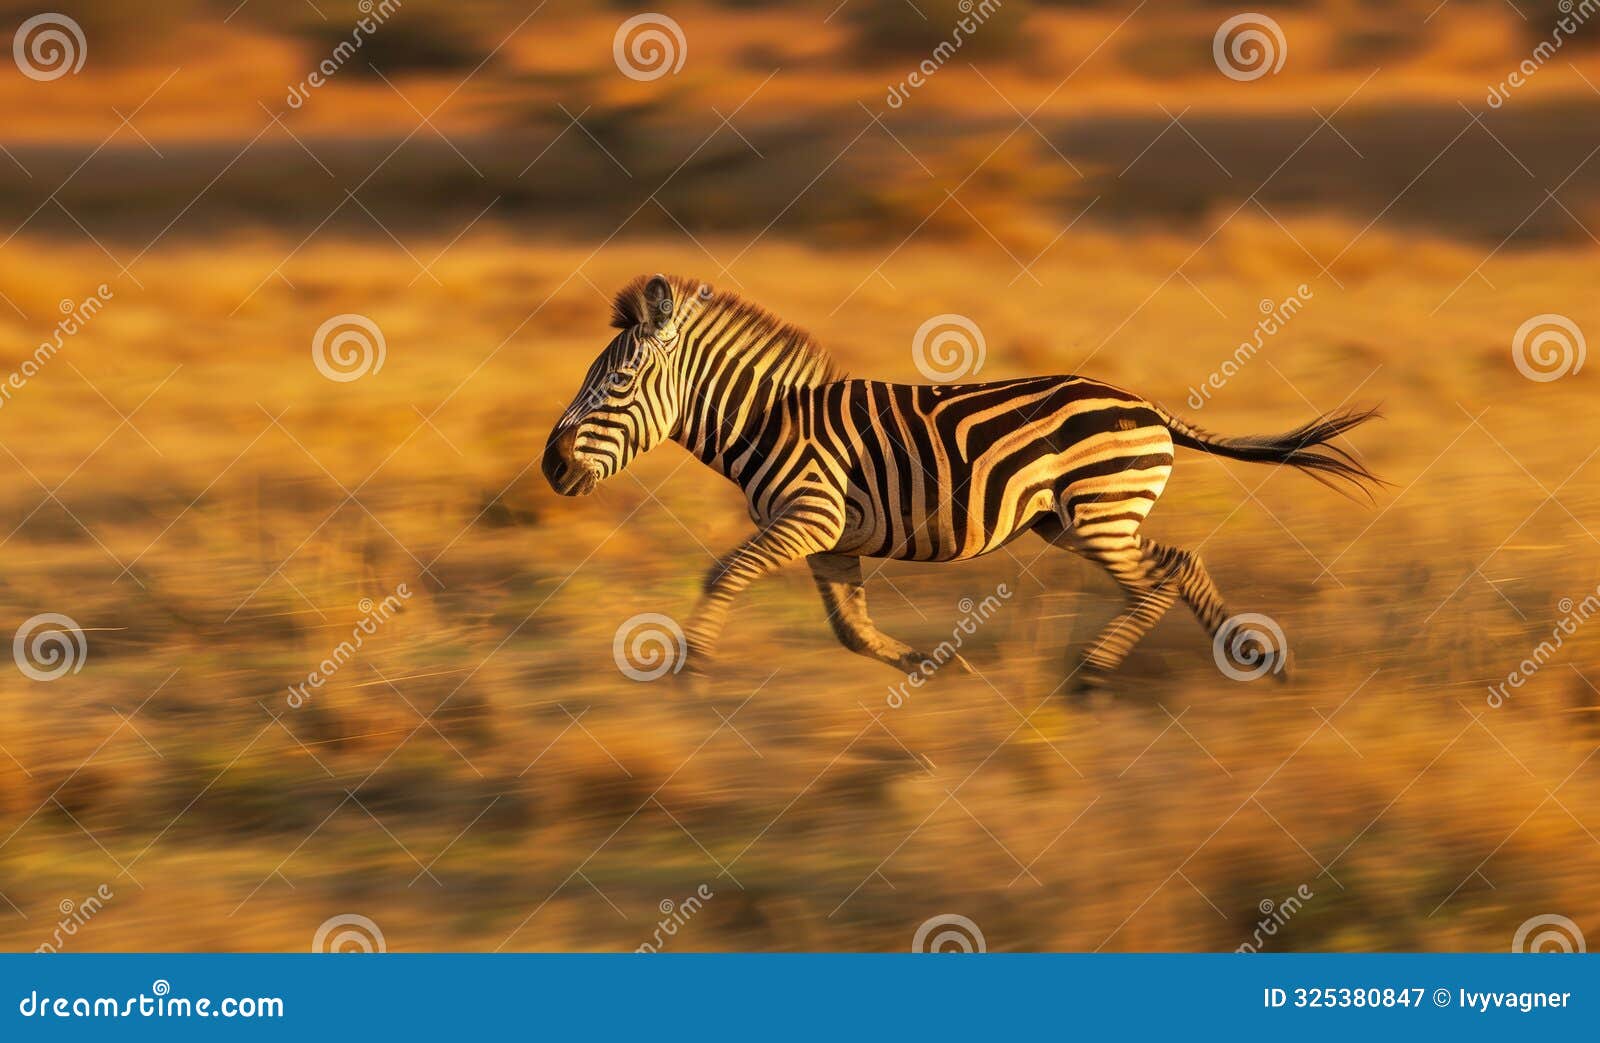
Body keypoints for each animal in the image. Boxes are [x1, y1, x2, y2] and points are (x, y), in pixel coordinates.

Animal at [542, 274, 1380, 691]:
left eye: (618, 383)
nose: (551, 466)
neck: (769, 420)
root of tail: (1146, 406)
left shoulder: (809, 515)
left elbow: (724, 572)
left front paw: (693, 667)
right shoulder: (830, 539)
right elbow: (849, 627)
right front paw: (931, 666)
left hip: (1097, 512)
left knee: (1154, 582)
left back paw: (1094, 675)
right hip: (1079, 518)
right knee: (1180, 563)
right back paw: (1254, 657)